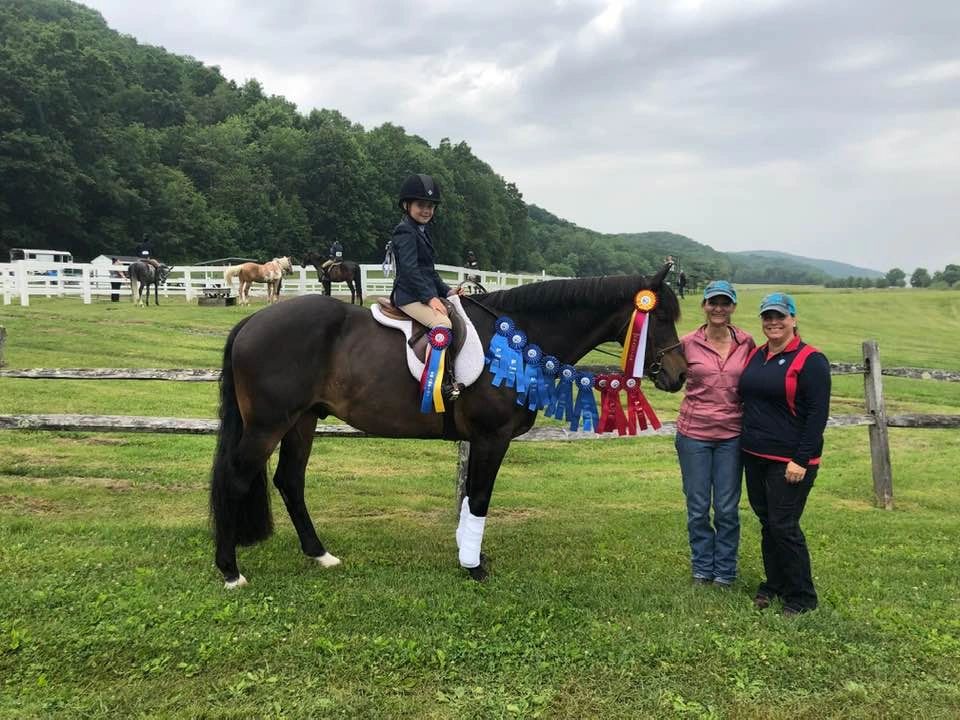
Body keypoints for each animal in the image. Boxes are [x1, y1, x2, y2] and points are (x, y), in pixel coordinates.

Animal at [209, 264, 687, 588]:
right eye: (660, 318)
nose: (679, 375)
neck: (517, 344)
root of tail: (252, 321)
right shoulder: (491, 438)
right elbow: (480, 500)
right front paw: (474, 567)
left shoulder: (479, 441)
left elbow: (470, 500)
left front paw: (468, 555)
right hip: (267, 426)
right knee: (236, 479)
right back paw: (230, 571)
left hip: (302, 421)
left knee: (290, 481)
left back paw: (319, 555)